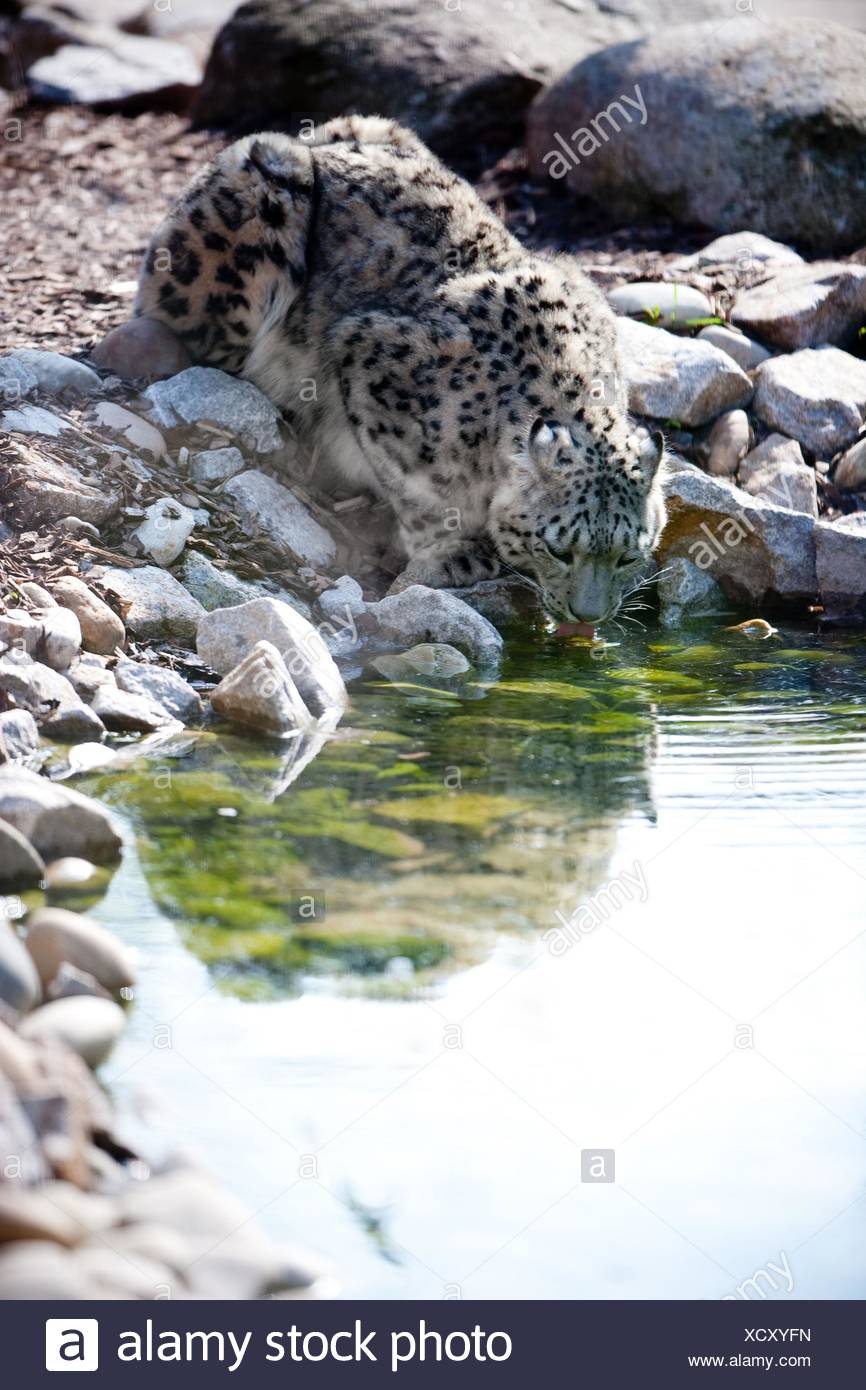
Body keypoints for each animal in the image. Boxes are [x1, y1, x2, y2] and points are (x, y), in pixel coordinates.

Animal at [134, 115, 667, 627]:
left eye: (627, 556)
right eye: (558, 548)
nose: (589, 615)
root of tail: (318, 146)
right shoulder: (367, 357)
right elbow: (417, 493)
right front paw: (450, 554)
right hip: (245, 230)